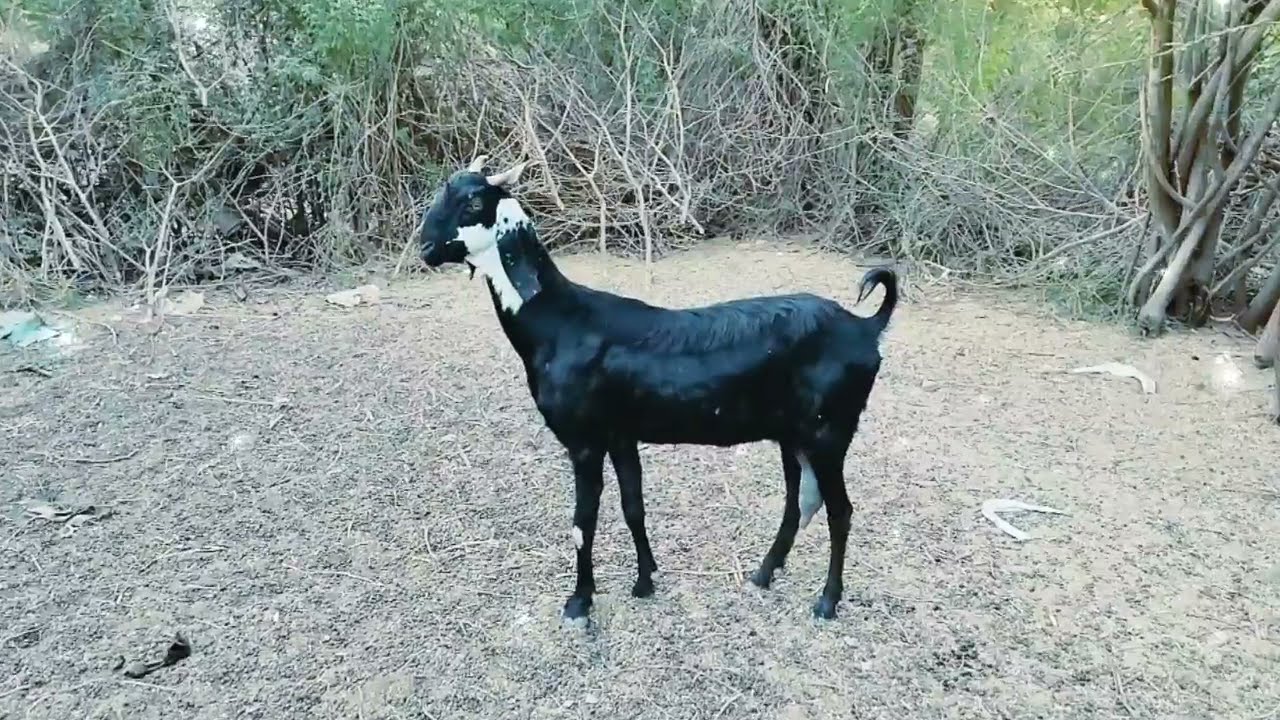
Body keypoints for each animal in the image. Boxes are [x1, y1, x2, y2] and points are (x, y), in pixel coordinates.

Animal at [418, 155, 900, 625]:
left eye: (473, 203)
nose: (425, 248)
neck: (559, 321)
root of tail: (866, 326)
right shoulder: (620, 434)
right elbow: (633, 505)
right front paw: (645, 580)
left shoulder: (584, 440)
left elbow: (582, 523)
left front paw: (579, 603)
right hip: (794, 434)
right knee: (800, 502)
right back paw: (762, 575)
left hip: (828, 432)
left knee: (840, 511)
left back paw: (827, 602)